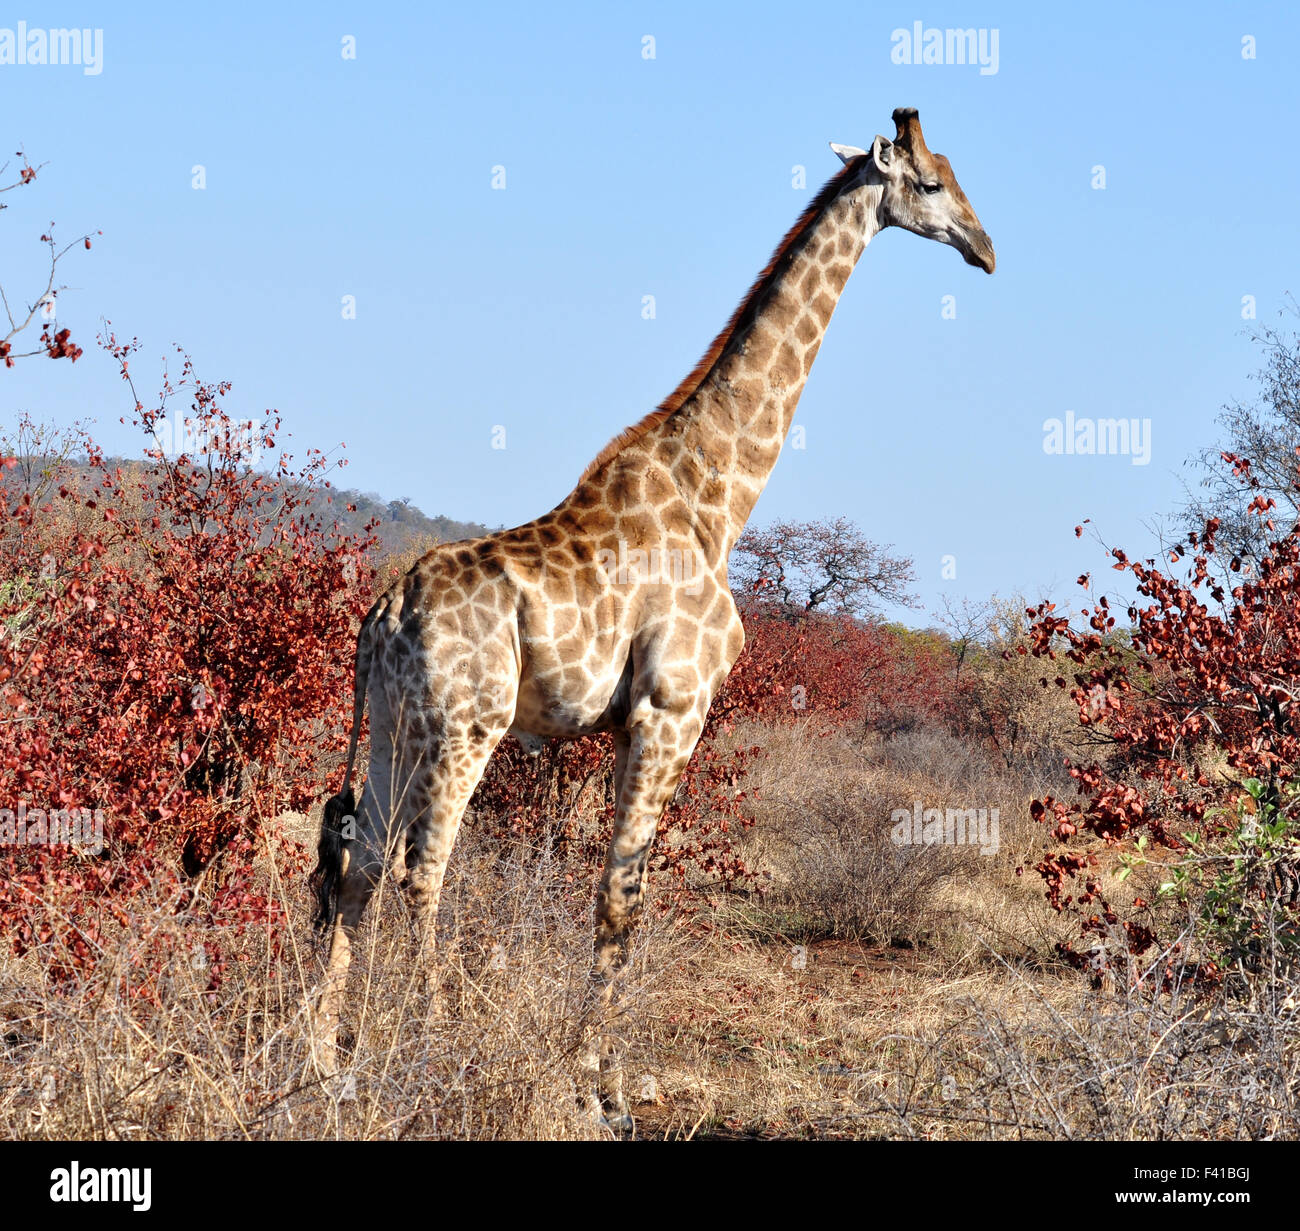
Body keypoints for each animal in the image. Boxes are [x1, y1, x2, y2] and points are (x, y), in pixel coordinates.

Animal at [310, 108, 994, 1131]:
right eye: (932, 184)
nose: (986, 249)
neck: (721, 496)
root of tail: (382, 614)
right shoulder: (672, 708)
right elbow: (621, 891)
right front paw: (597, 1087)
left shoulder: (632, 721)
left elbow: (613, 888)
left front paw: (594, 1074)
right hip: (466, 725)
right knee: (420, 870)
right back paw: (429, 1050)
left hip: (394, 724)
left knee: (357, 865)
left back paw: (328, 1059)